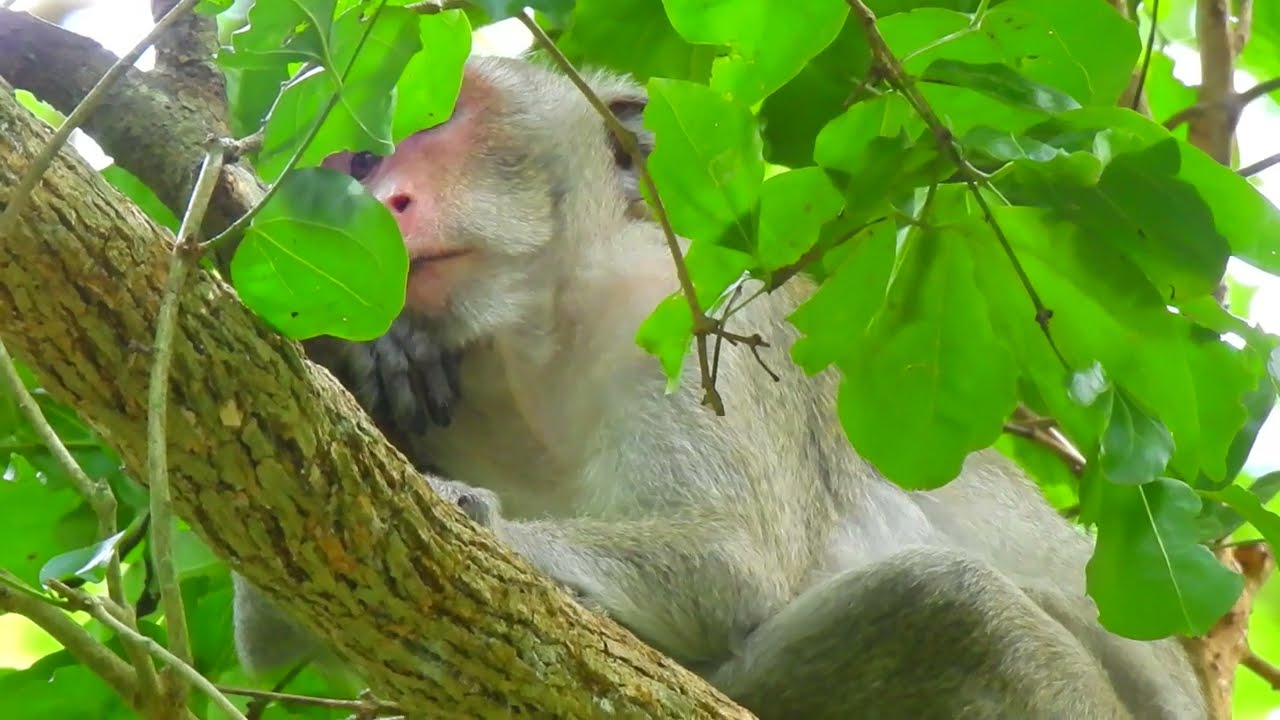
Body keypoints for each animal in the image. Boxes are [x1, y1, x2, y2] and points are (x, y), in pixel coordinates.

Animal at [232, 55, 1210, 719]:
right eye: (362, 162)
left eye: (441, 116)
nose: (387, 199)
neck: (533, 333)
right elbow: (284, 608)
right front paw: (364, 349)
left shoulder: (689, 316)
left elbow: (729, 554)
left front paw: (474, 515)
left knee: (947, 608)